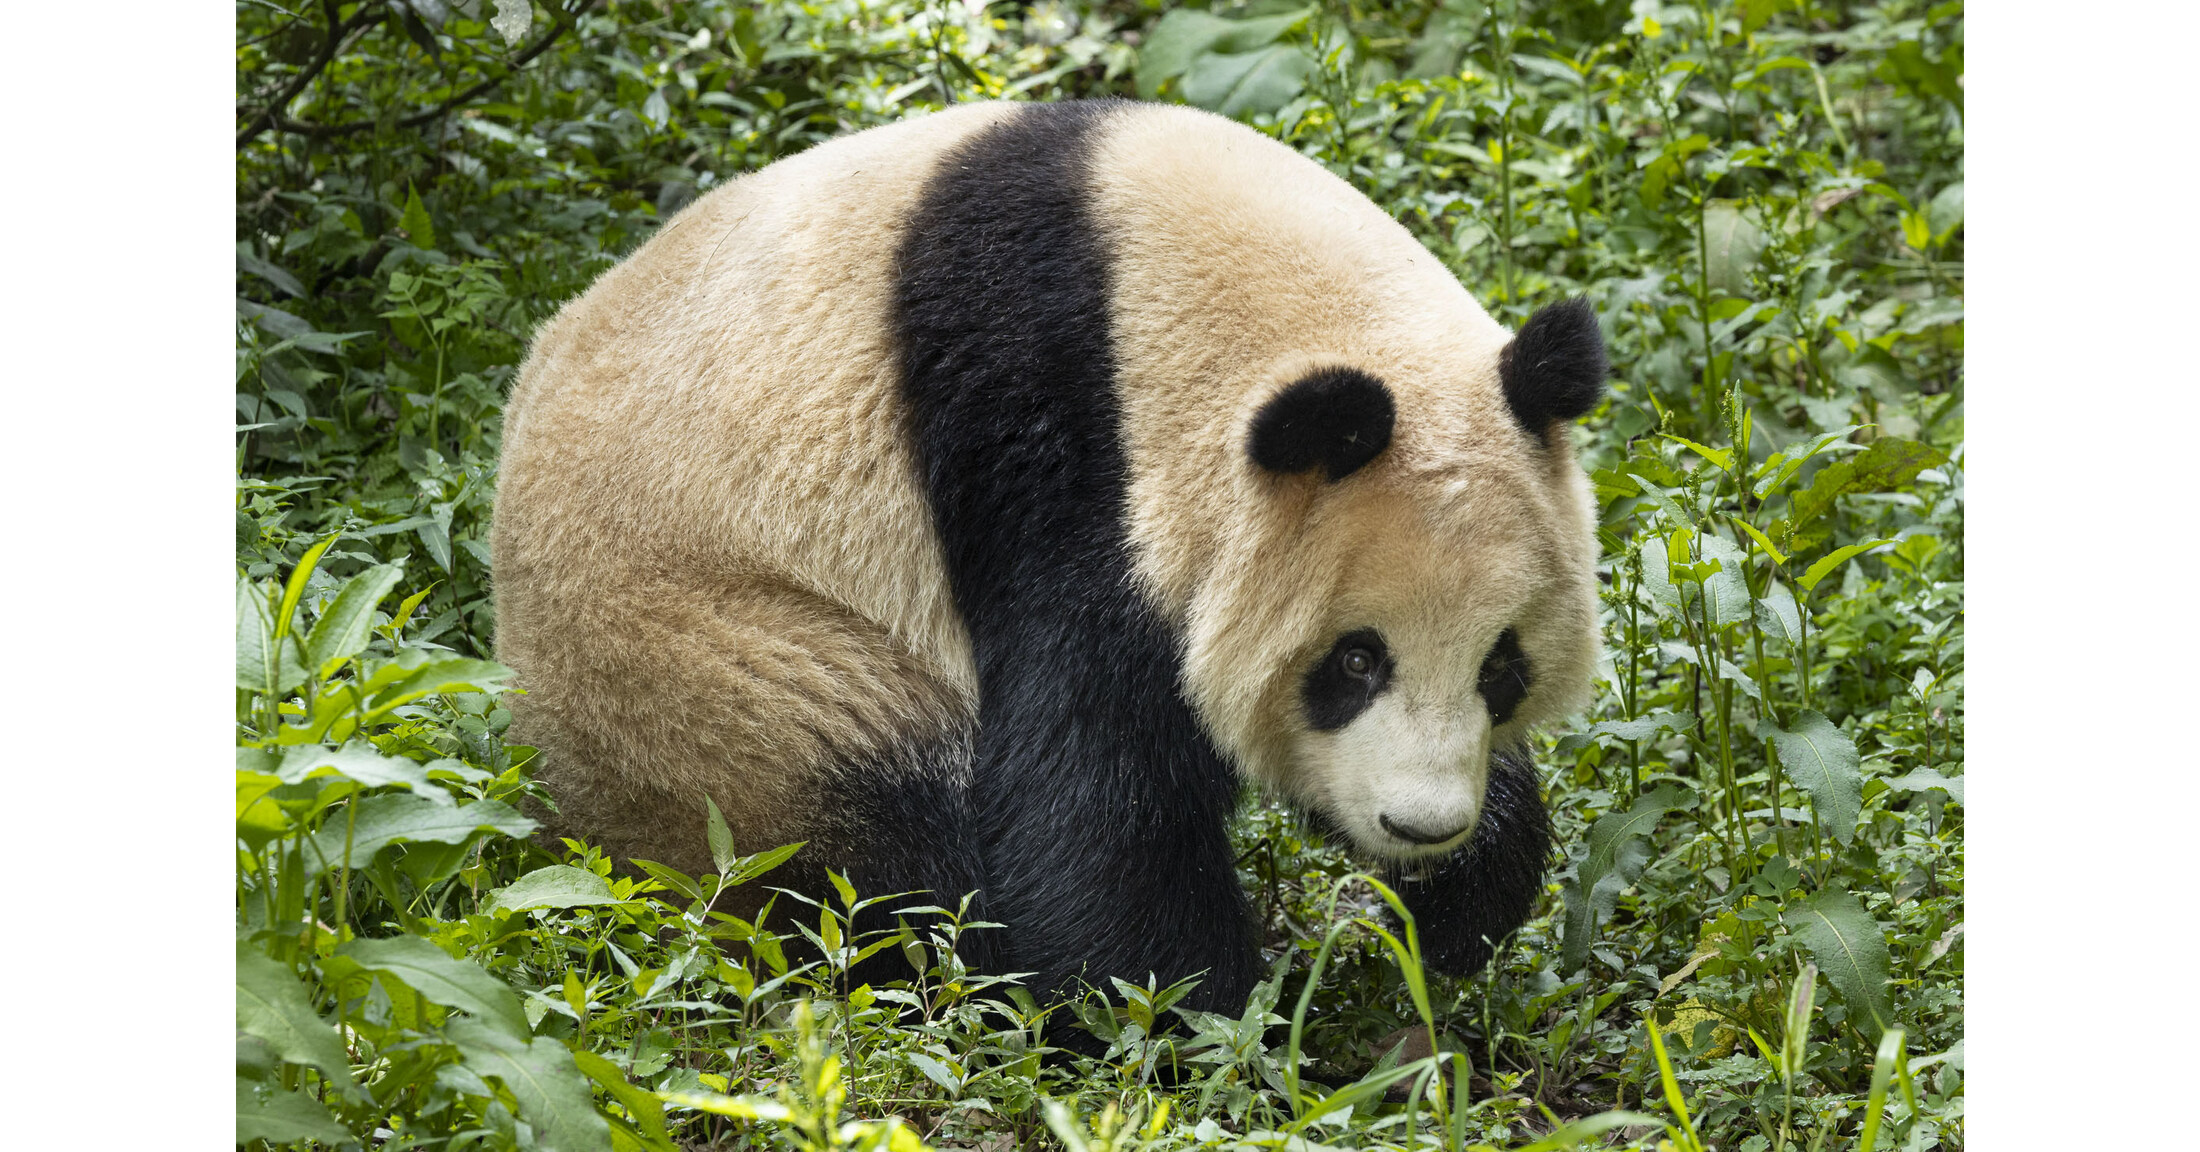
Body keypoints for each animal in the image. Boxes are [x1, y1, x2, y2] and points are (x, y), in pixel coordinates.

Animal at [491, 99, 1606, 1018]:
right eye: (1354, 660)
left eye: (1502, 665)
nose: (1421, 827)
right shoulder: (1054, 455)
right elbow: (1087, 794)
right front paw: (1192, 1018)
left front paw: (1458, 904)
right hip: (716, 670)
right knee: (873, 830)